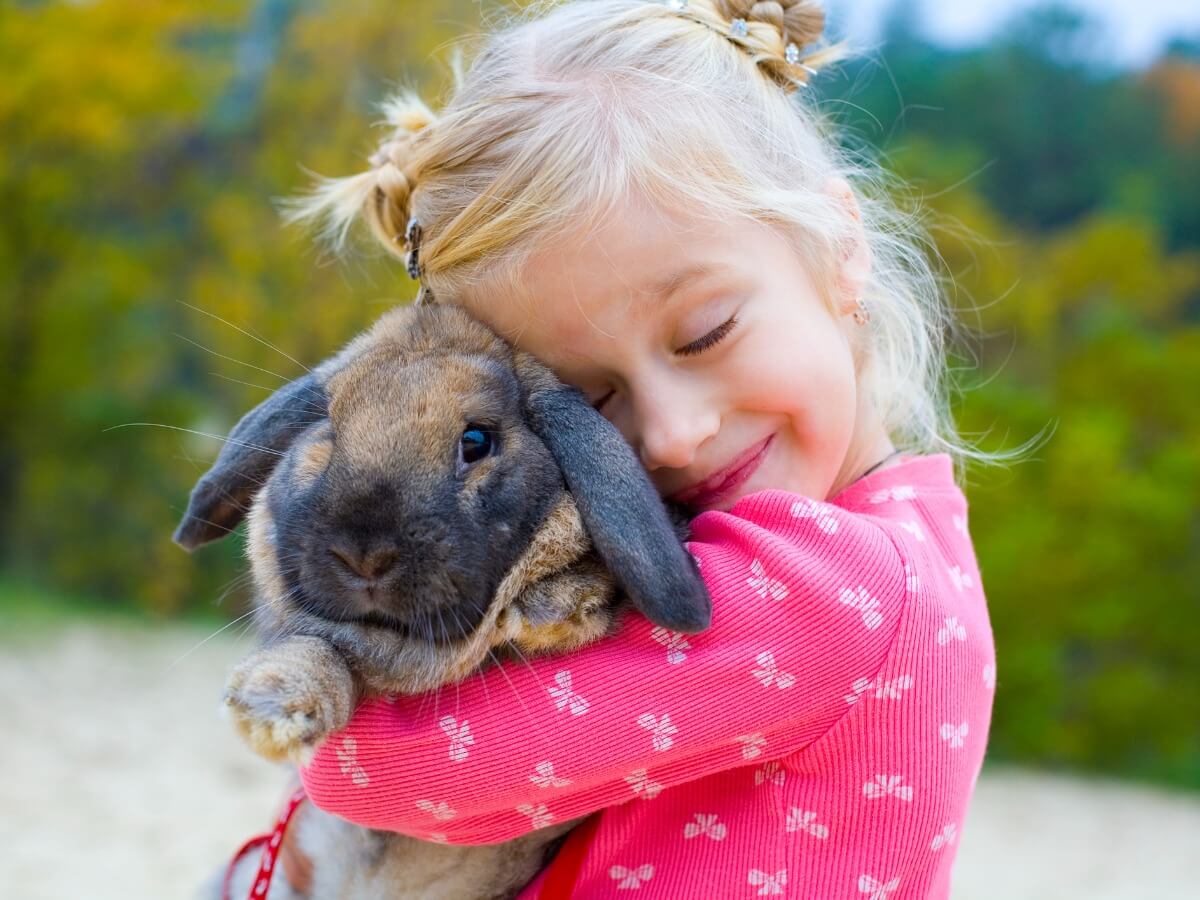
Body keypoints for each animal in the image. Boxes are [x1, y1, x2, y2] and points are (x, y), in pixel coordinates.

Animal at [174, 304, 705, 900]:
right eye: (328, 431)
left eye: (476, 440)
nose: (364, 555)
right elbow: (321, 649)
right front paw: (272, 707)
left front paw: (560, 602)